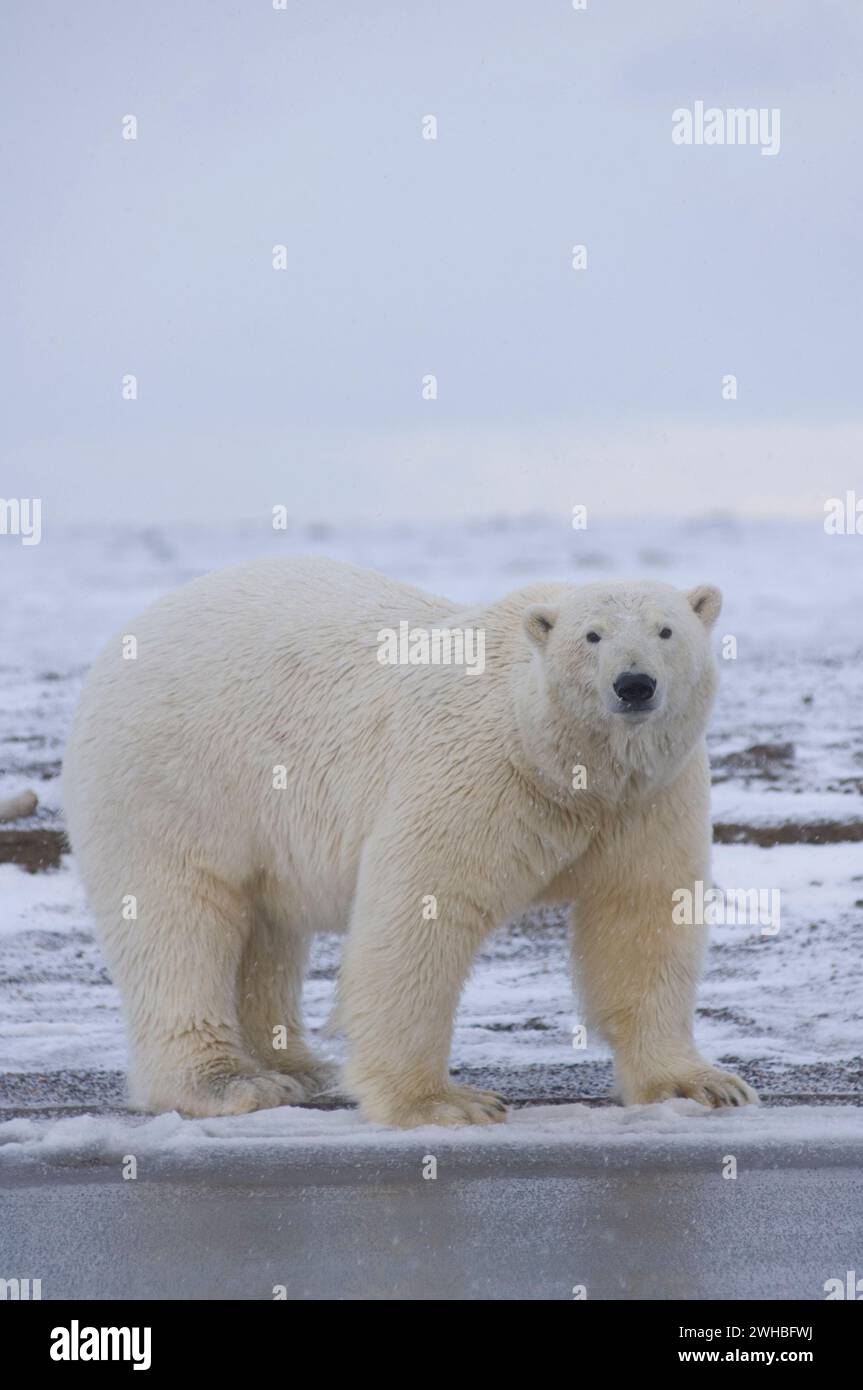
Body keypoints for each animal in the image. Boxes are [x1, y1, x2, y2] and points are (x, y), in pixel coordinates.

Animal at [63, 556, 757, 1126]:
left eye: (666, 631)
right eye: (593, 636)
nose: (634, 684)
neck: (563, 768)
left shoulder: (647, 800)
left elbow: (643, 917)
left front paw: (701, 1086)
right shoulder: (479, 775)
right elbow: (420, 913)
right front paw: (442, 1102)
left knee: (267, 936)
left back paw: (296, 1066)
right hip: (177, 780)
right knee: (180, 922)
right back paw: (230, 1083)